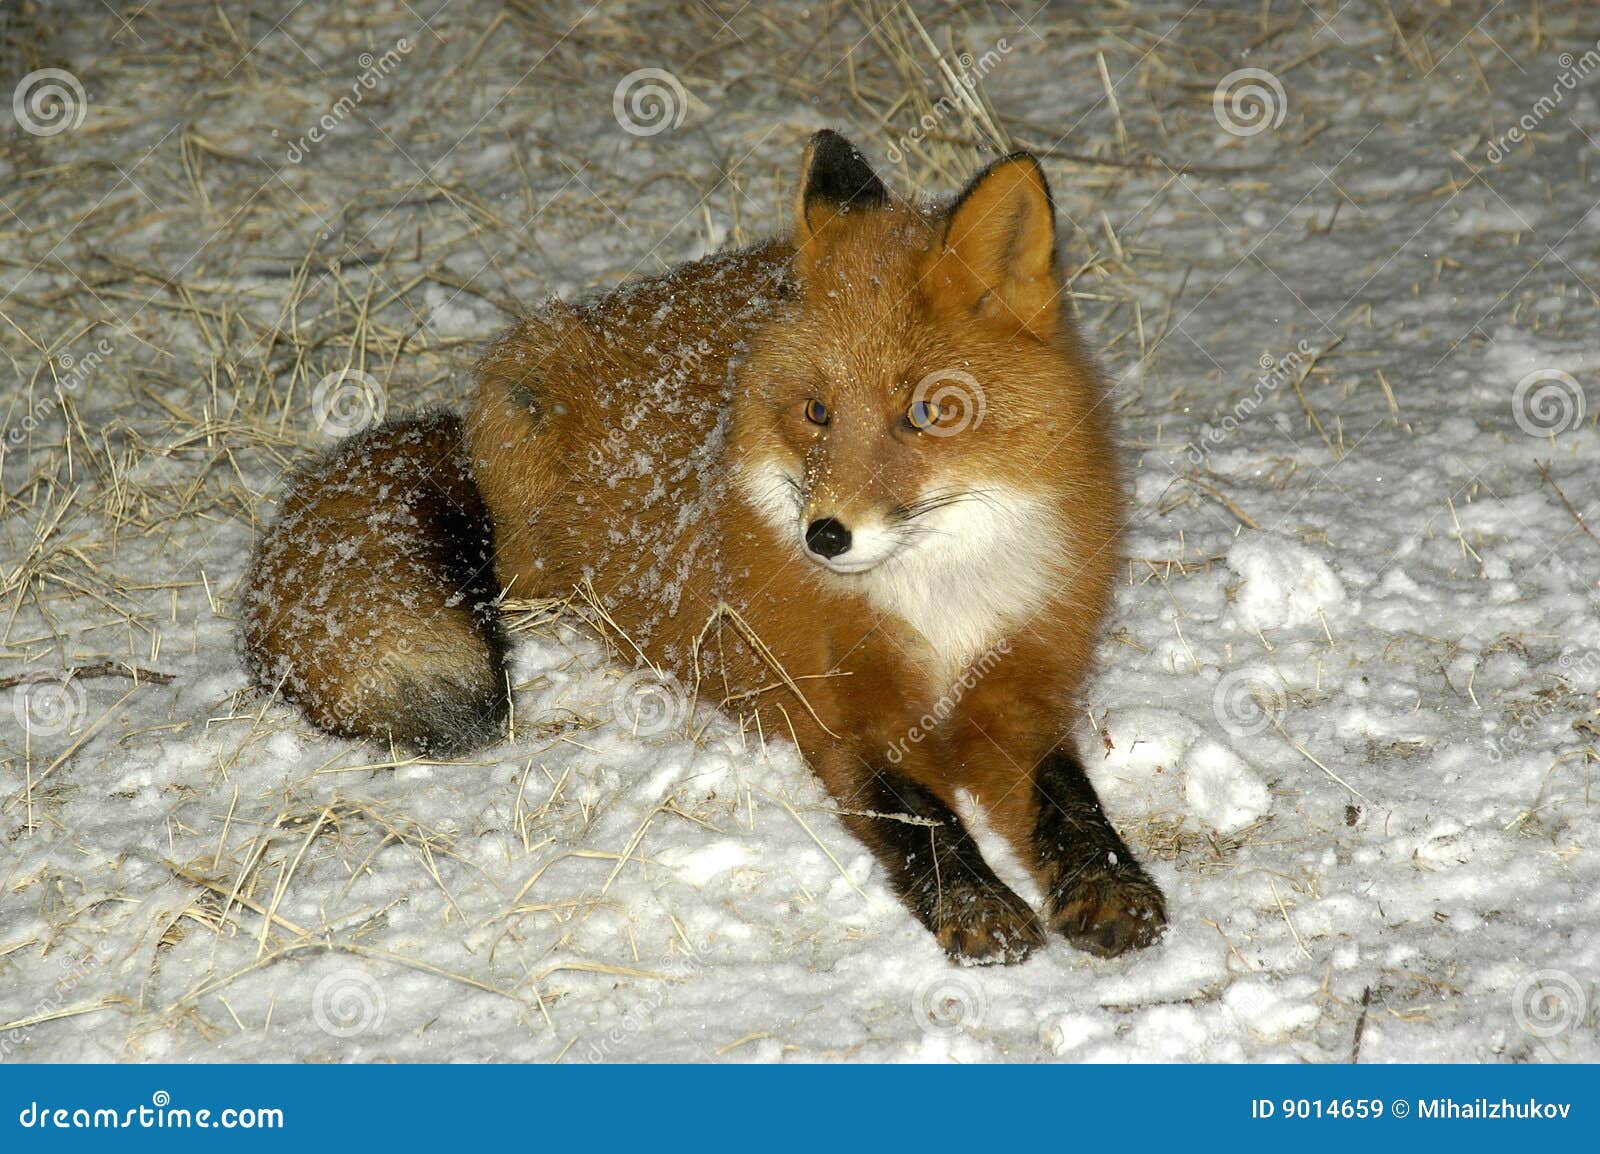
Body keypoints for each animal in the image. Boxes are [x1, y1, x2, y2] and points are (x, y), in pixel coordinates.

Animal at [243, 130, 1166, 964]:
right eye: (816, 412)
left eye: (928, 413)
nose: (825, 537)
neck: (936, 601)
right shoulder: (842, 716)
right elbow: (920, 819)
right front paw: (978, 905)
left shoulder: (1021, 689)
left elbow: (1070, 803)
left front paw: (1109, 885)